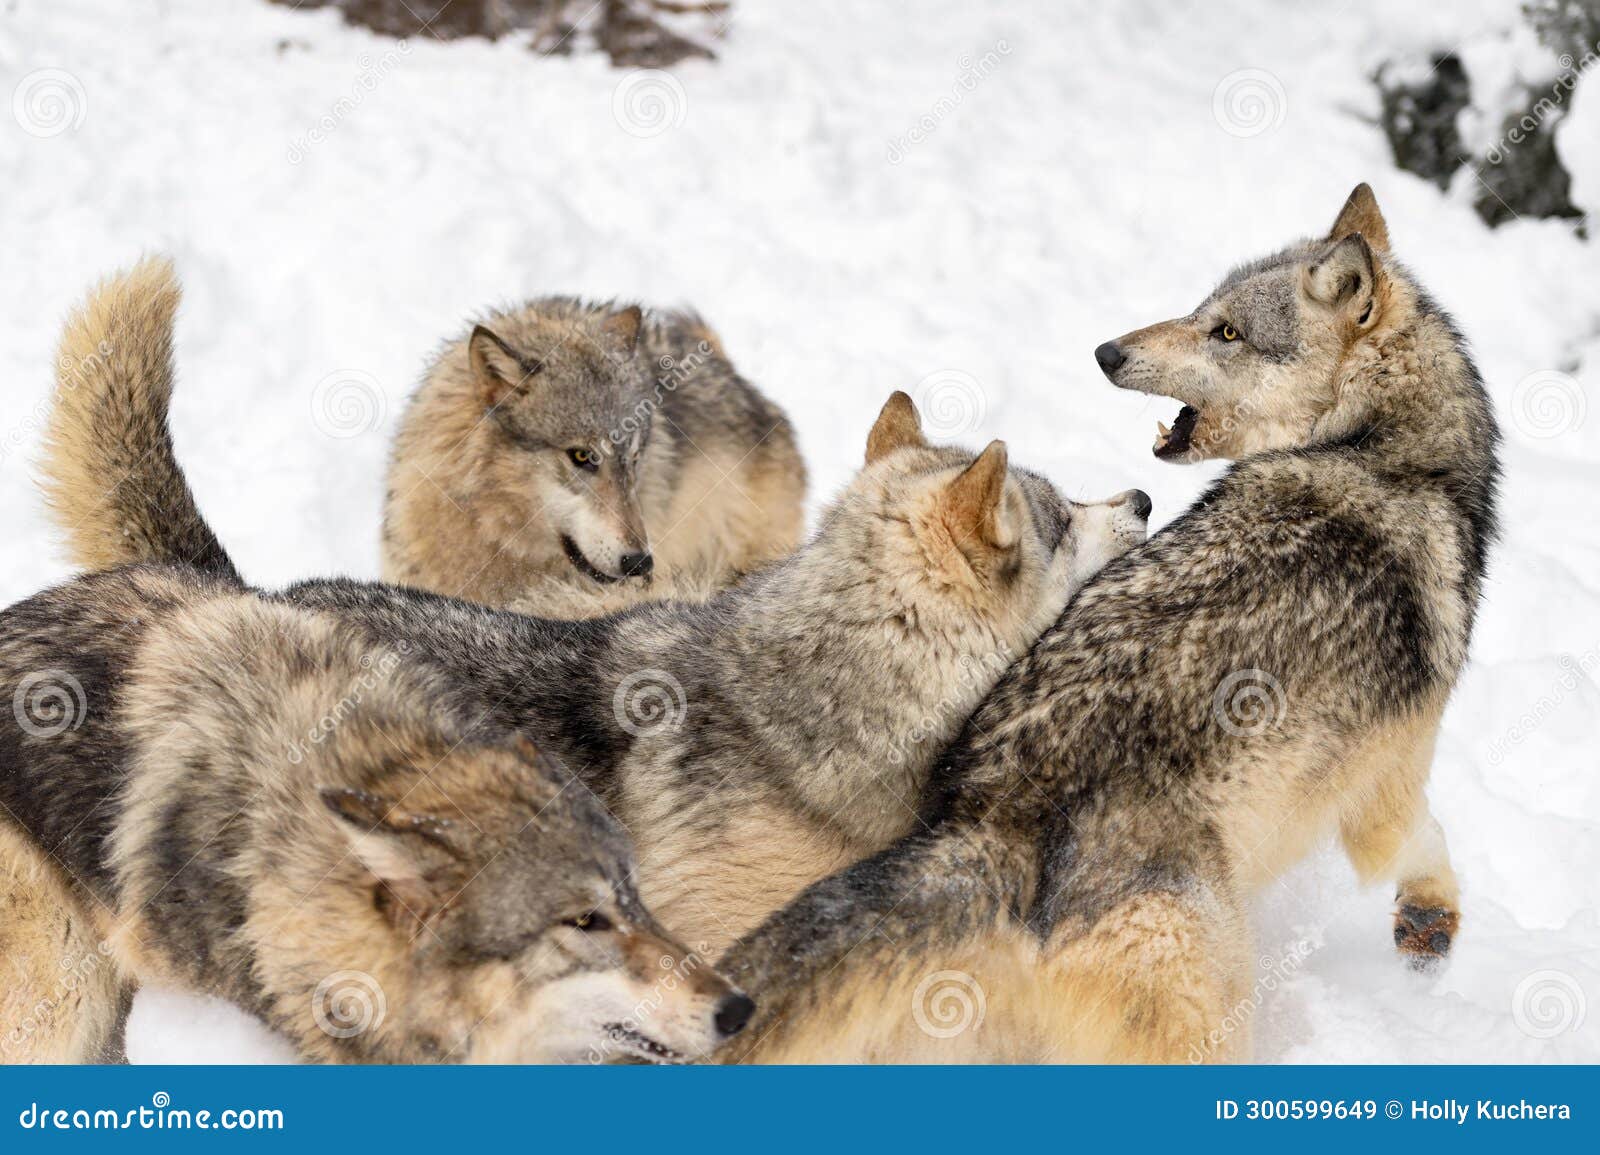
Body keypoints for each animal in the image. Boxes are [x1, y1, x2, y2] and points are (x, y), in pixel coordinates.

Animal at [717, 184, 1500, 1063]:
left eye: (1225, 331)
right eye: (1205, 313)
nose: (1106, 352)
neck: (1382, 452)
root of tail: (991, 816)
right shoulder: (1390, 772)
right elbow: (1424, 840)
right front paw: (1431, 924)